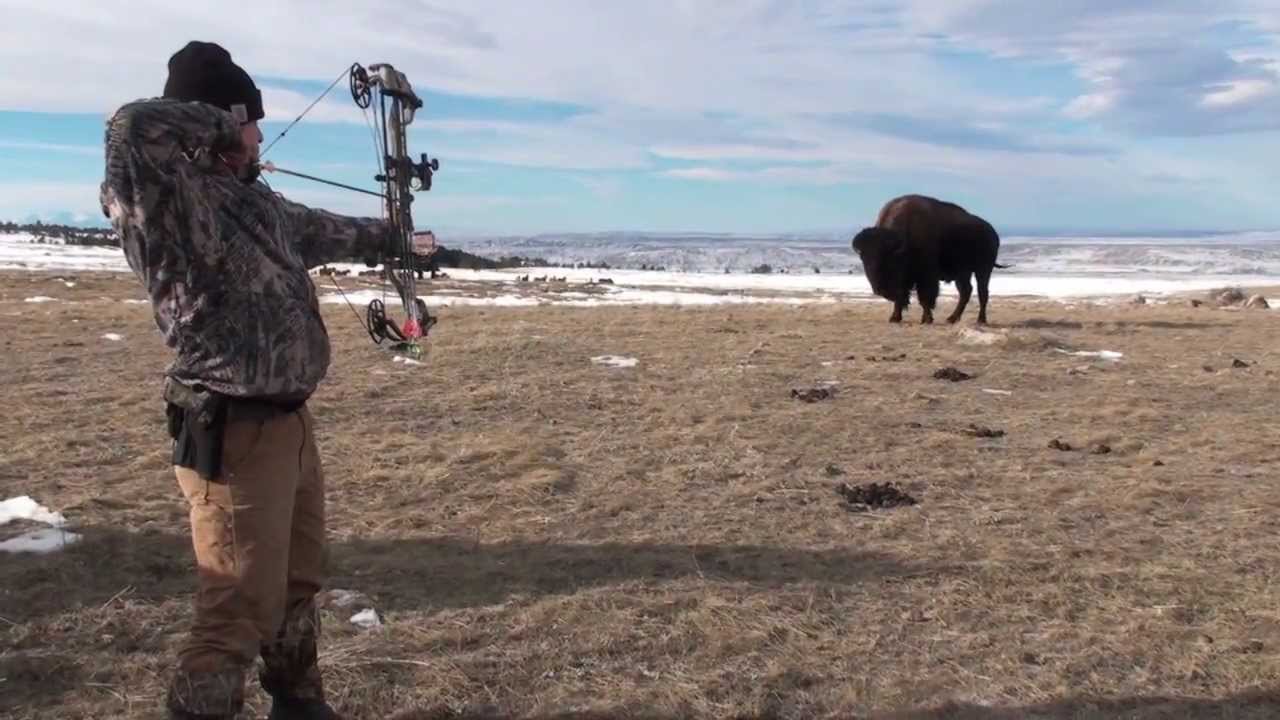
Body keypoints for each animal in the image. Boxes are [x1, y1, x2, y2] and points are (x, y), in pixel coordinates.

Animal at [851, 194, 1008, 325]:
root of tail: (992, 233)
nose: (879, 289)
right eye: (863, 258)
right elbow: (901, 297)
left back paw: (980, 320)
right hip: (963, 273)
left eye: (886, 258)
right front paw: (894, 318)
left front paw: (926, 319)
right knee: (966, 291)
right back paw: (952, 318)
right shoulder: (905, 279)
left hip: (983, 269)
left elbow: (925, 297)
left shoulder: (926, 275)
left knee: (982, 293)